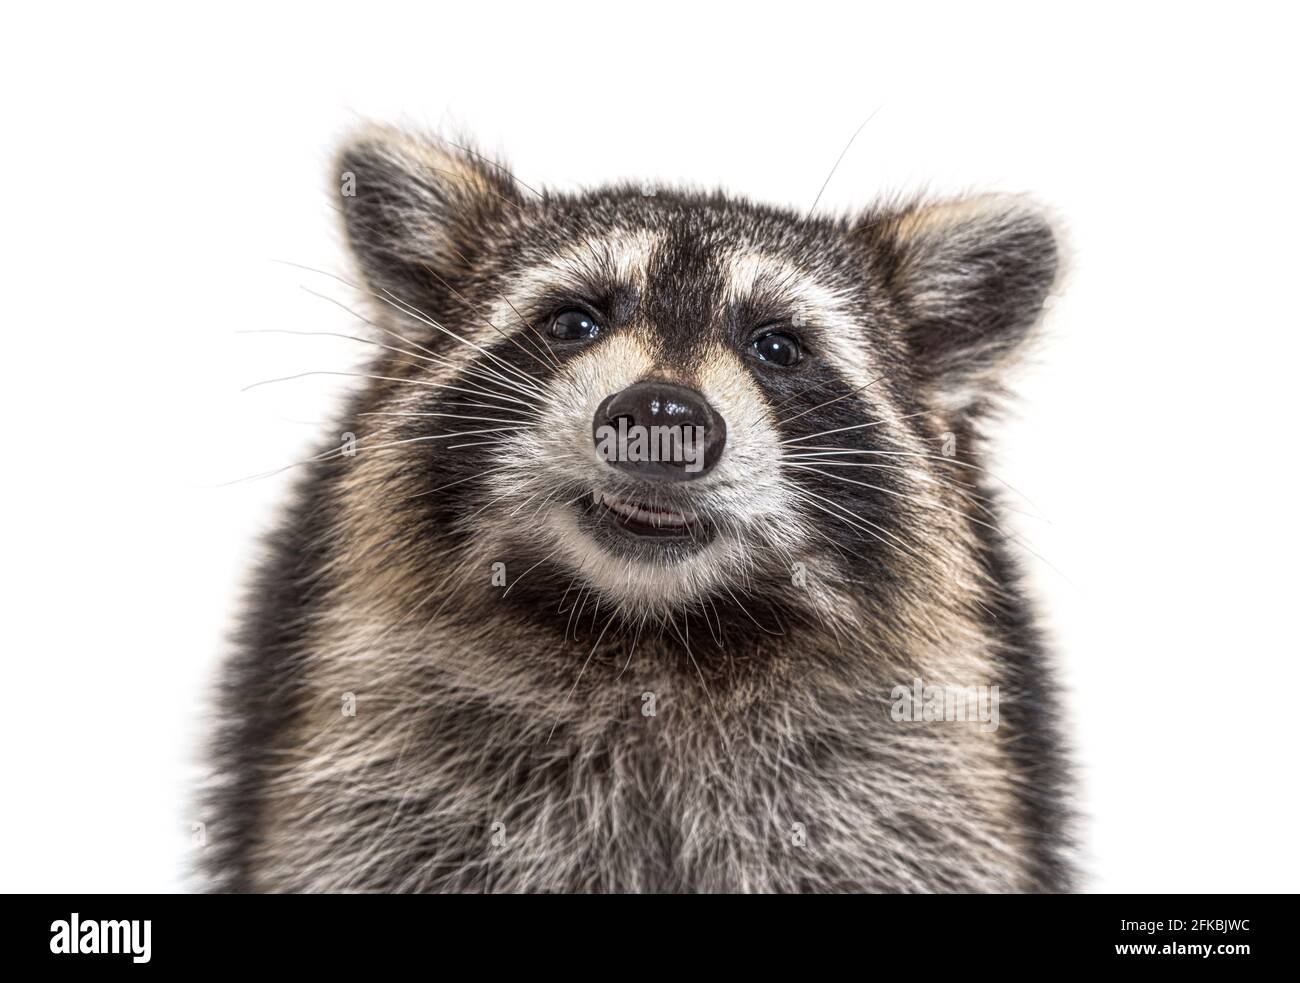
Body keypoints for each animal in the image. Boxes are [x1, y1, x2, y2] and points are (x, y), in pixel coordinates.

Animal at [206, 126, 1073, 893]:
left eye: (778, 346)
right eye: (574, 320)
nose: (662, 417)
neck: (654, 632)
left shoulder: (910, 785)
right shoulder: (372, 776)